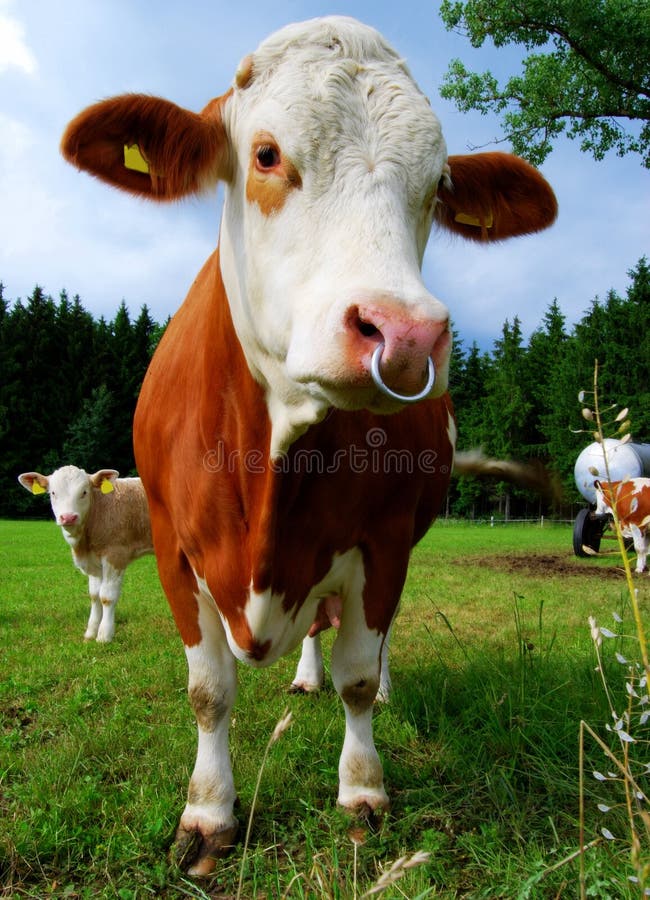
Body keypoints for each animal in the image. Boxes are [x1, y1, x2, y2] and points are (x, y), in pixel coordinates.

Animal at [18, 466, 153, 641]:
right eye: (53, 492)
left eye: (84, 492)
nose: (68, 517)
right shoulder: (93, 563)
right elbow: (94, 596)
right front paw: (90, 633)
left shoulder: (115, 555)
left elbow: (107, 596)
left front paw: (104, 636)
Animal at [60, 16, 557, 875]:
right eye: (266, 155)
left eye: (438, 186)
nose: (405, 334)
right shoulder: (172, 544)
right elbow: (208, 692)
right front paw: (208, 813)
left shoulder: (383, 541)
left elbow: (358, 675)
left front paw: (362, 792)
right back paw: (301, 676)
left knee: (363, 645)